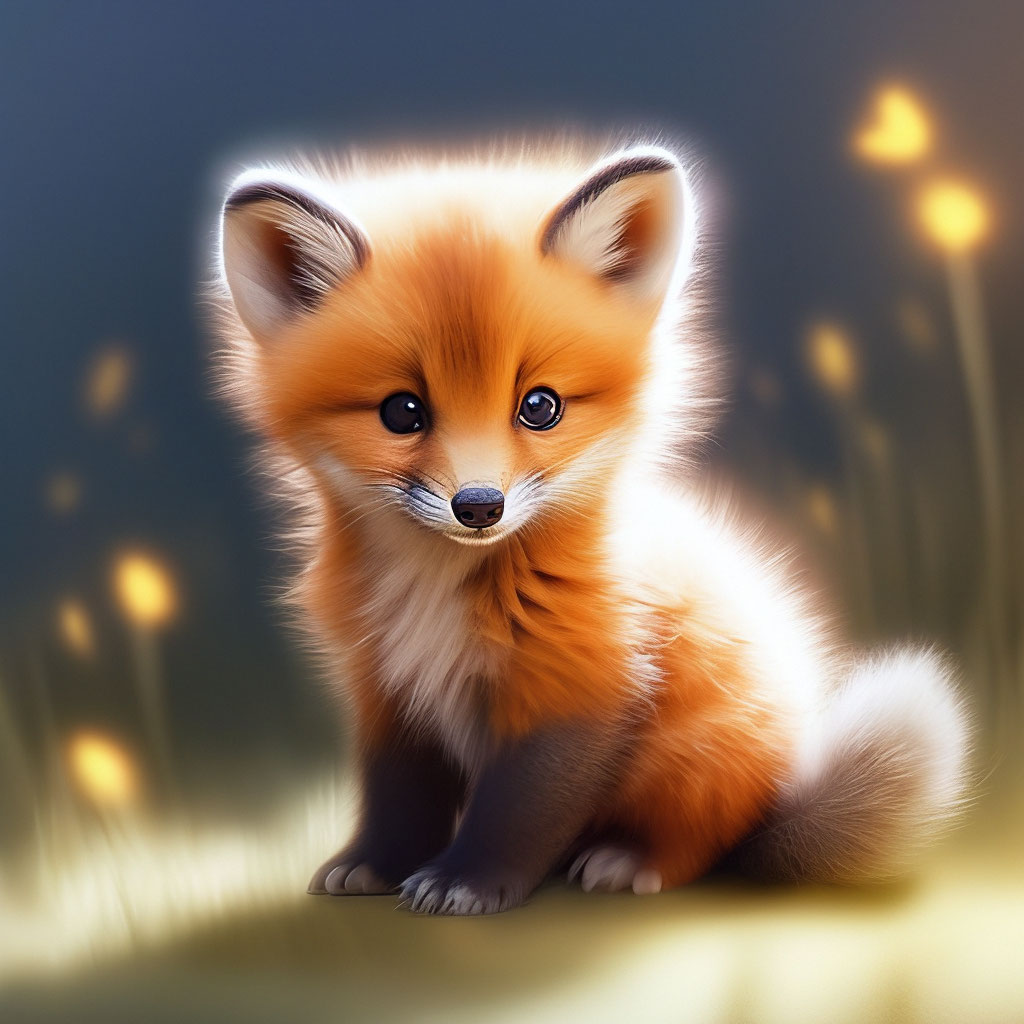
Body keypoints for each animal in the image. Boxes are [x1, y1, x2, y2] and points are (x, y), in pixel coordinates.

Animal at [210, 136, 971, 915]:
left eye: (540, 407)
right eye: (403, 412)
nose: (479, 506)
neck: (441, 590)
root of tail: (779, 792)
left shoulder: (580, 690)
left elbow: (519, 809)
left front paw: (466, 880)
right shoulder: (389, 692)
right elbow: (400, 798)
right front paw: (375, 863)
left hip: (694, 763)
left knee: (710, 845)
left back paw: (629, 859)